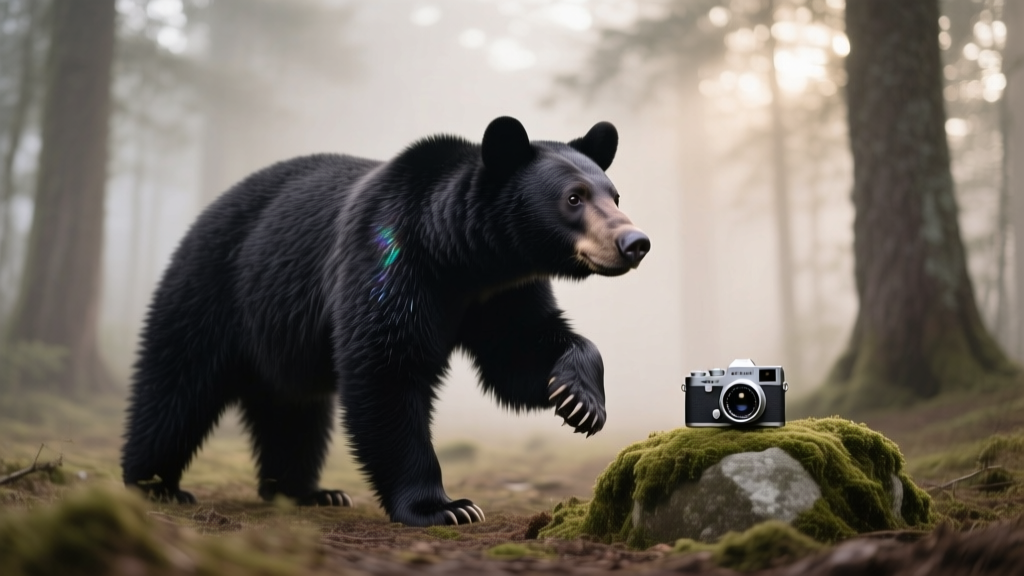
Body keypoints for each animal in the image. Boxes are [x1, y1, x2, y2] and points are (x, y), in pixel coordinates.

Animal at [121, 116, 650, 526]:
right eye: (574, 198)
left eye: (615, 194)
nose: (635, 242)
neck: (462, 258)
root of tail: (207, 210)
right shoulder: (390, 259)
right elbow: (388, 370)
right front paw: (444, 506)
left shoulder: (502, 293)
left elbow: (518, 352)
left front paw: (579, 400)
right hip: (215, 285)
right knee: (176, 384)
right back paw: (153, 481)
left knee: (293, 407)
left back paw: (307, 490)